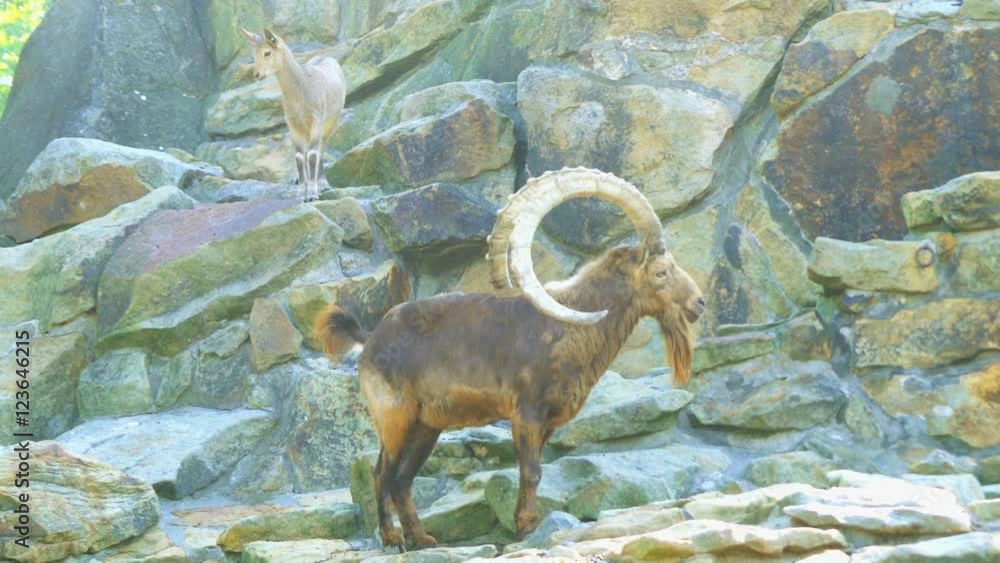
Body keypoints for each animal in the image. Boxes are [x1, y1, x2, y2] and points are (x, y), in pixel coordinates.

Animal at [242, 28, 346, 202]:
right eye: (253, 54)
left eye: (267, 52)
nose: (257, 74)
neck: (301, 90)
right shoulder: (293, 123)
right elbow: (299, 156)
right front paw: (301, 193)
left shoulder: (316, 119)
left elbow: (312, 154)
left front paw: (312, 193)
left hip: (332, 119)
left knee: (321, 148)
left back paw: (323, 183)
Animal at [316, 168, 705, 550]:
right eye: (661, 272)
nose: (699, 303)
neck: (570, 323)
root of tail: (371, 339)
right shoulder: (526, 413)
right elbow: (531, 471)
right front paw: (528, 525)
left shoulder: (546, 422)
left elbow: (531, 469)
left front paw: (522, 522)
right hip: (395, 417)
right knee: (382, 472)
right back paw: (392, 538)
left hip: (426, 426)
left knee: (401, 478)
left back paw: (421, 538)